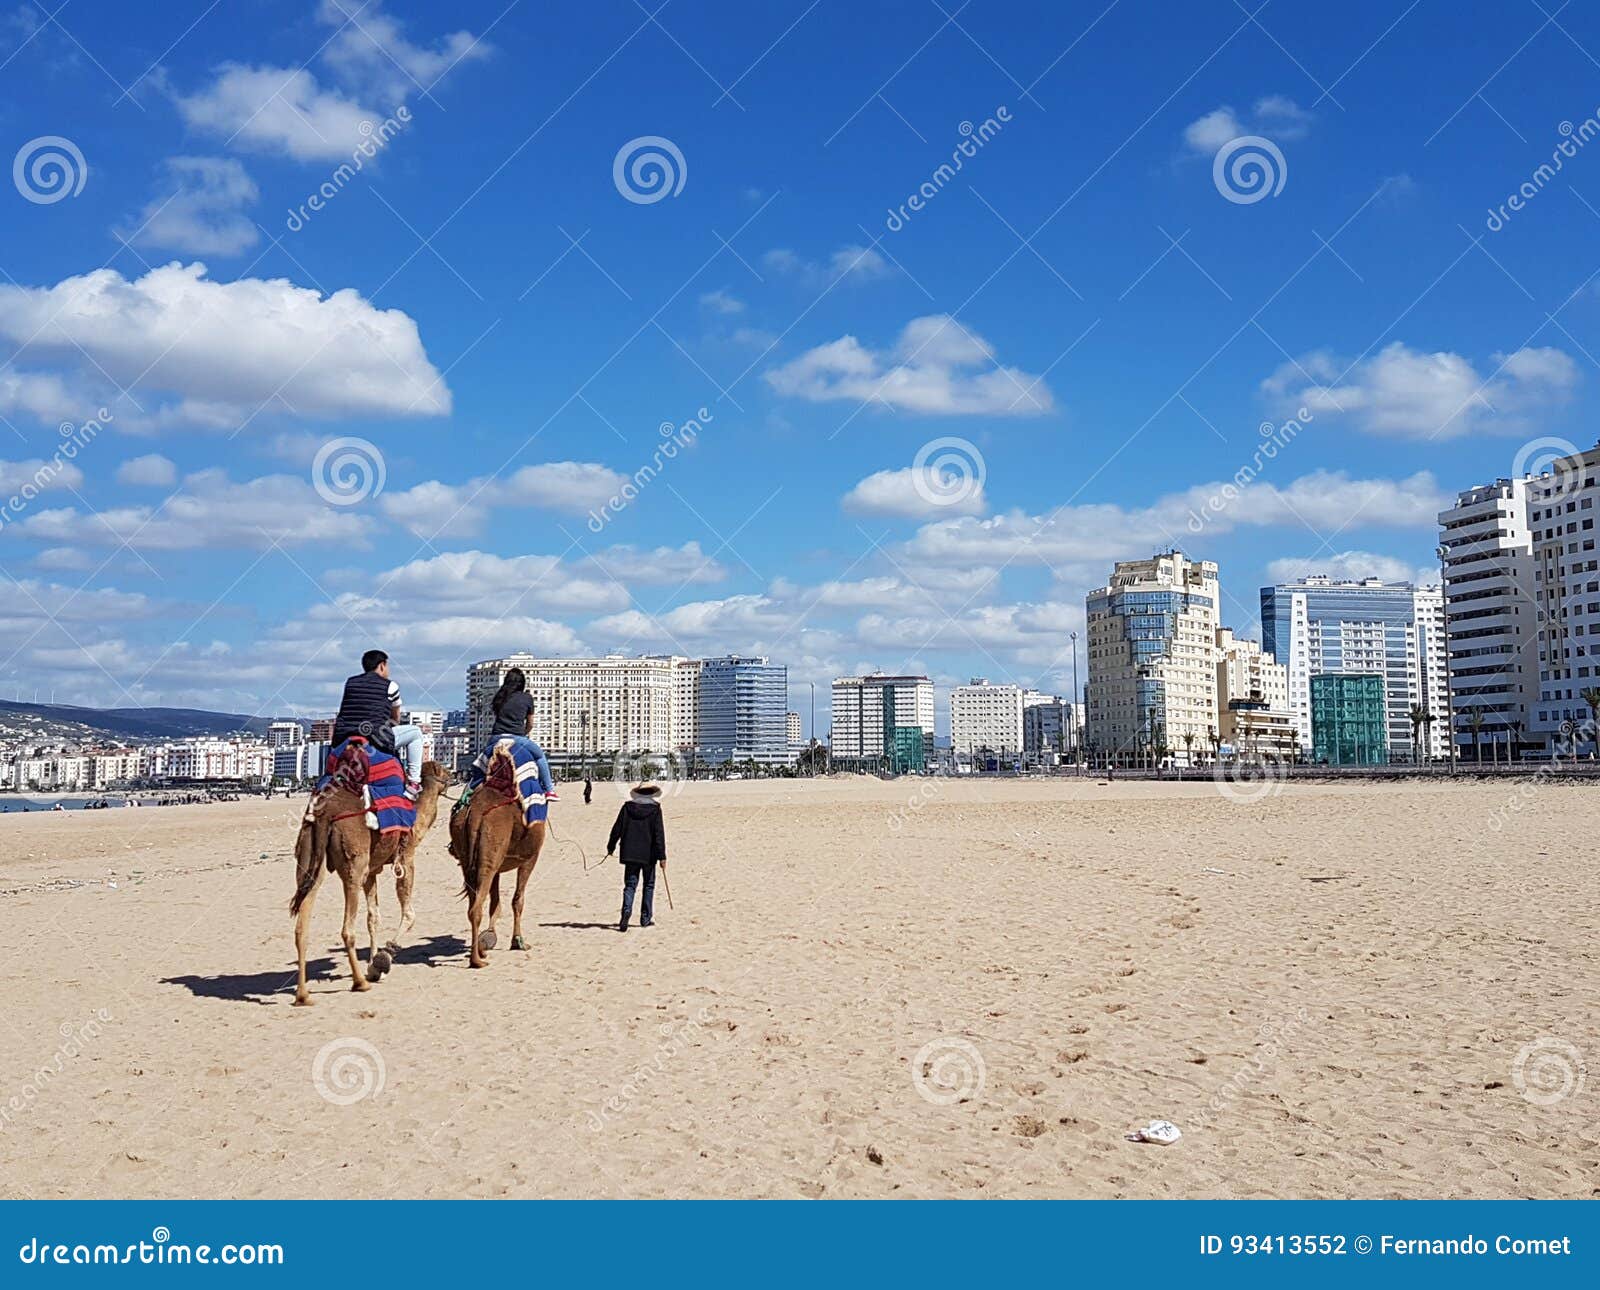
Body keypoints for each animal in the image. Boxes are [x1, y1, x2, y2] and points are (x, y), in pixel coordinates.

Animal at [289, 756, 450, 1006]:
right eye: (443, 770)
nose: (453, 776)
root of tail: (325, 813)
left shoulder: (372, 871)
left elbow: (373, 918)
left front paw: (373, 965)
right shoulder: (406, 857)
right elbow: (409, 914)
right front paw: (382, 960)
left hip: (310, 858)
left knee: (301, 927)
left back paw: (303, 995)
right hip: (354, 864)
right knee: (347, 929)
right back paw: (359, 983)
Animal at [449, 748, 546, 969]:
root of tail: (477, 811)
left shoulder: (497, 867)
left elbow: (496, 902)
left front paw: (490, 937)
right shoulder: (530, 858)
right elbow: (518, 900)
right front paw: (518, 942)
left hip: (470, 857)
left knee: (473, 902)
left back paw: (479, 953)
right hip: (493, 848)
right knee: (476, 908)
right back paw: (477, 960)